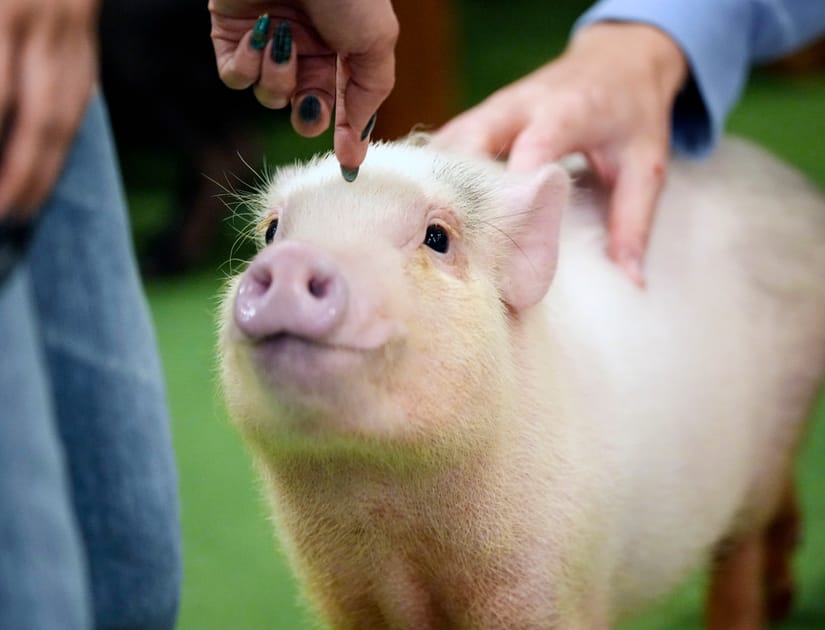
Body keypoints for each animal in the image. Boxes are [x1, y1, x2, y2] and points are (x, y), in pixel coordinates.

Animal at [217, 134, 825, 630]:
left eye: (437, 237)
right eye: (273, 231)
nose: (293, 259)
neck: (387, 507)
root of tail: (795, 185)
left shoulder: (549, 583)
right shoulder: (347, 599)